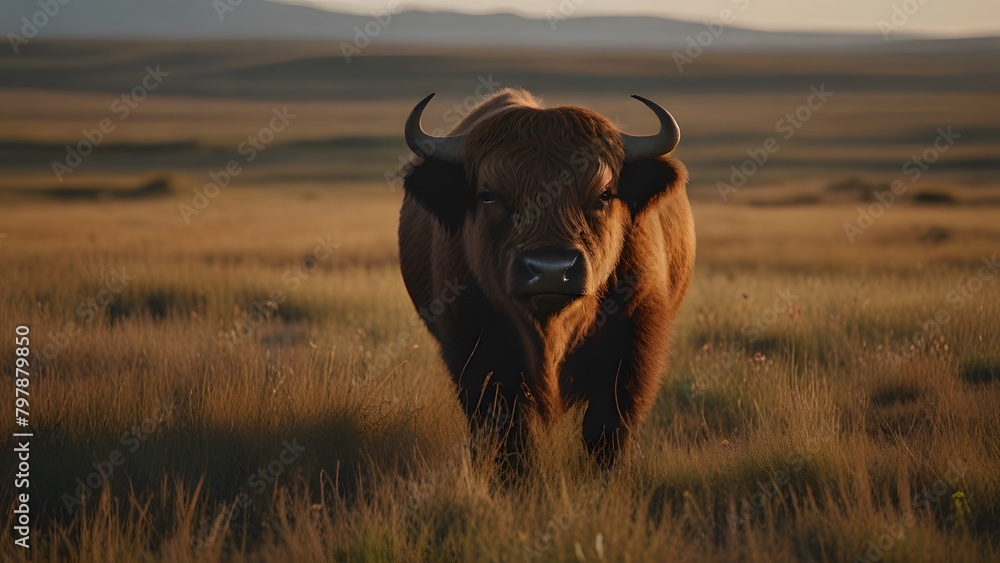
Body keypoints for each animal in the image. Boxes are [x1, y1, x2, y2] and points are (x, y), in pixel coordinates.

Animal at [398, 88, 695, 463]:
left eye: (604, 194)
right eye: (488, 195)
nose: (551, 269)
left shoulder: (633, 349)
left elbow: (605, 430)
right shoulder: (476, 353)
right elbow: (509, 431)